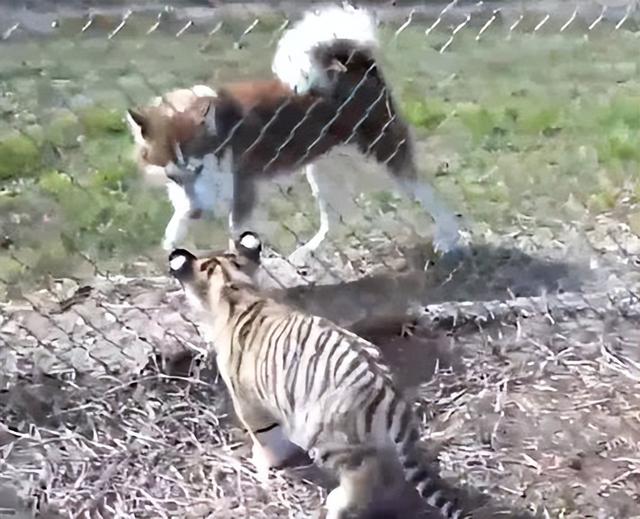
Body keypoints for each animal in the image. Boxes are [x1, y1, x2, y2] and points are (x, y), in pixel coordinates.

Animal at [167, 232, 468, 519]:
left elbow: (264, 436)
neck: (233, 287)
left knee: (362, 474)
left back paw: (337, 505)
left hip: (323, 435)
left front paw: (265, 460)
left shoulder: (248, 402)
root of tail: (388, 393)